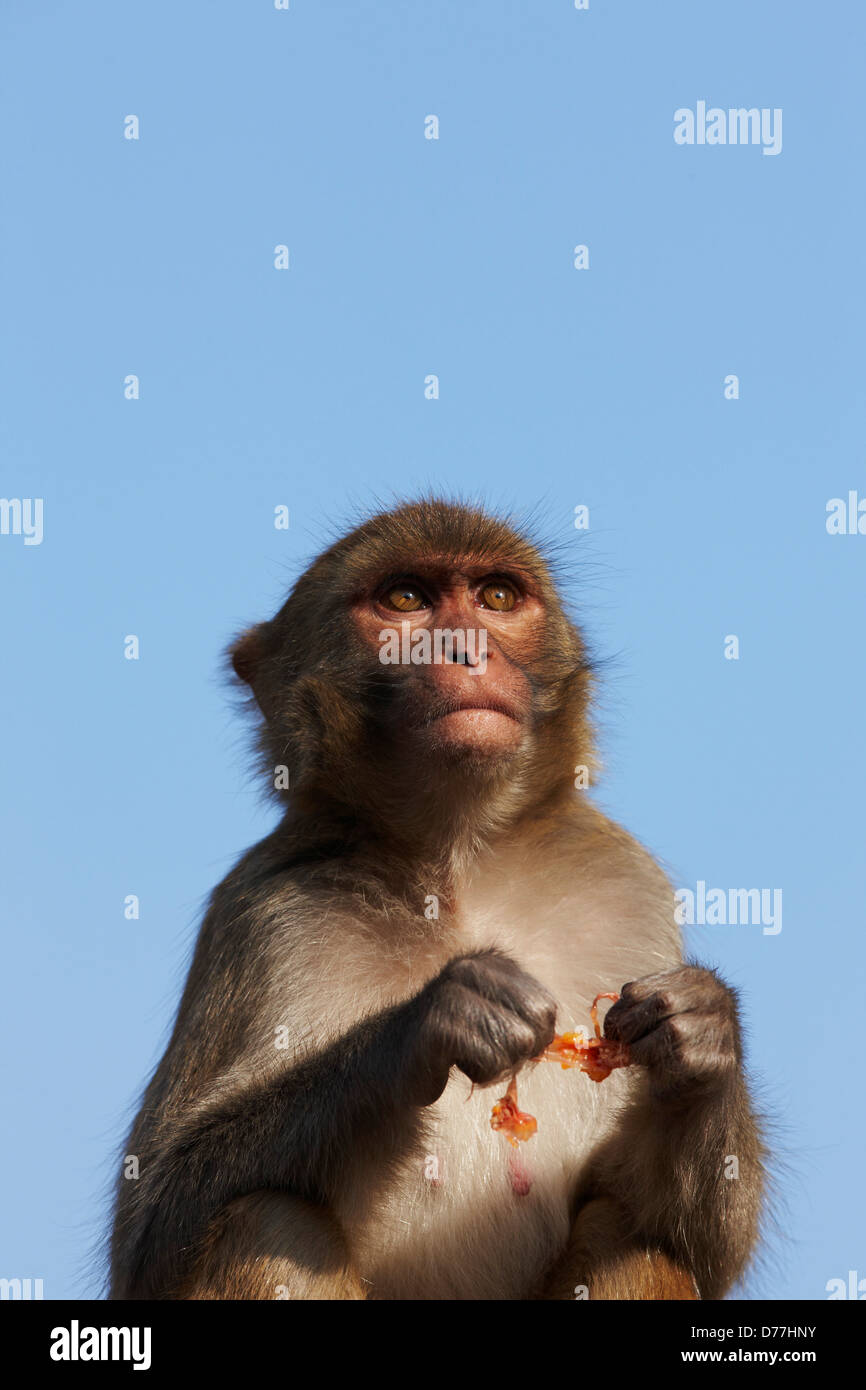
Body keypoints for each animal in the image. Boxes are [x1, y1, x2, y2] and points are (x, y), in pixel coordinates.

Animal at [109, 498, 764, 1301]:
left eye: (498, 598)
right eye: (406, 599)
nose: (467, 649)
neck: (457, 868)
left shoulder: (624, 881)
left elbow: (688, 1238)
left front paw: (701, 1031)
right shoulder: (264, 912)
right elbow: (156, 1226)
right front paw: (434, 1020)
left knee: (631, 1240)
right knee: (265, 1219)